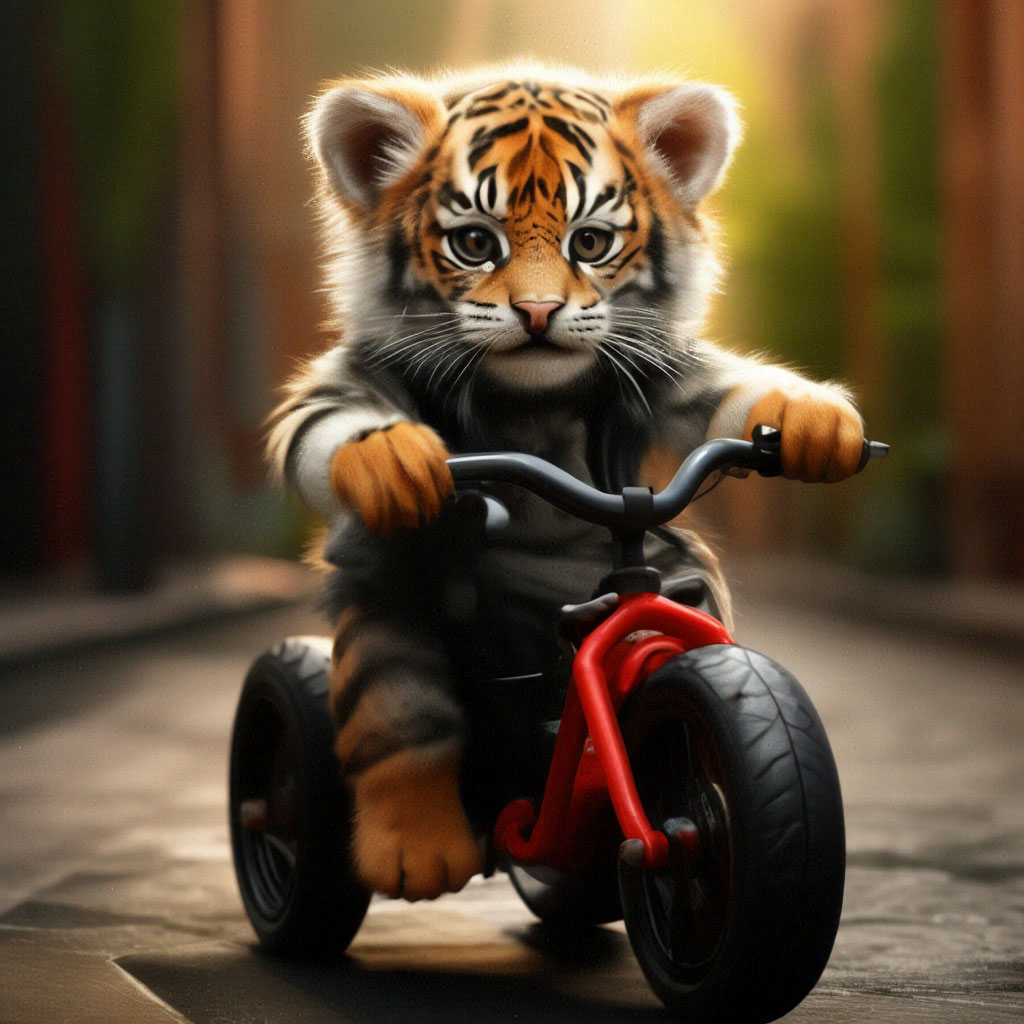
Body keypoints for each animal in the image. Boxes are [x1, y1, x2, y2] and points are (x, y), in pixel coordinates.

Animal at [266, 64, 864, 902]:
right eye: (474, 243)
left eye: (592, 242)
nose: (539, 311)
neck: (532, 405)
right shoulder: (353, 380)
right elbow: (318, 414)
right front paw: (387, 458)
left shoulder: (666, 377)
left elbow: (724, 391)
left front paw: (815, 421)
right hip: (384, 601)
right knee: (393, 707)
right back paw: (413, 848)